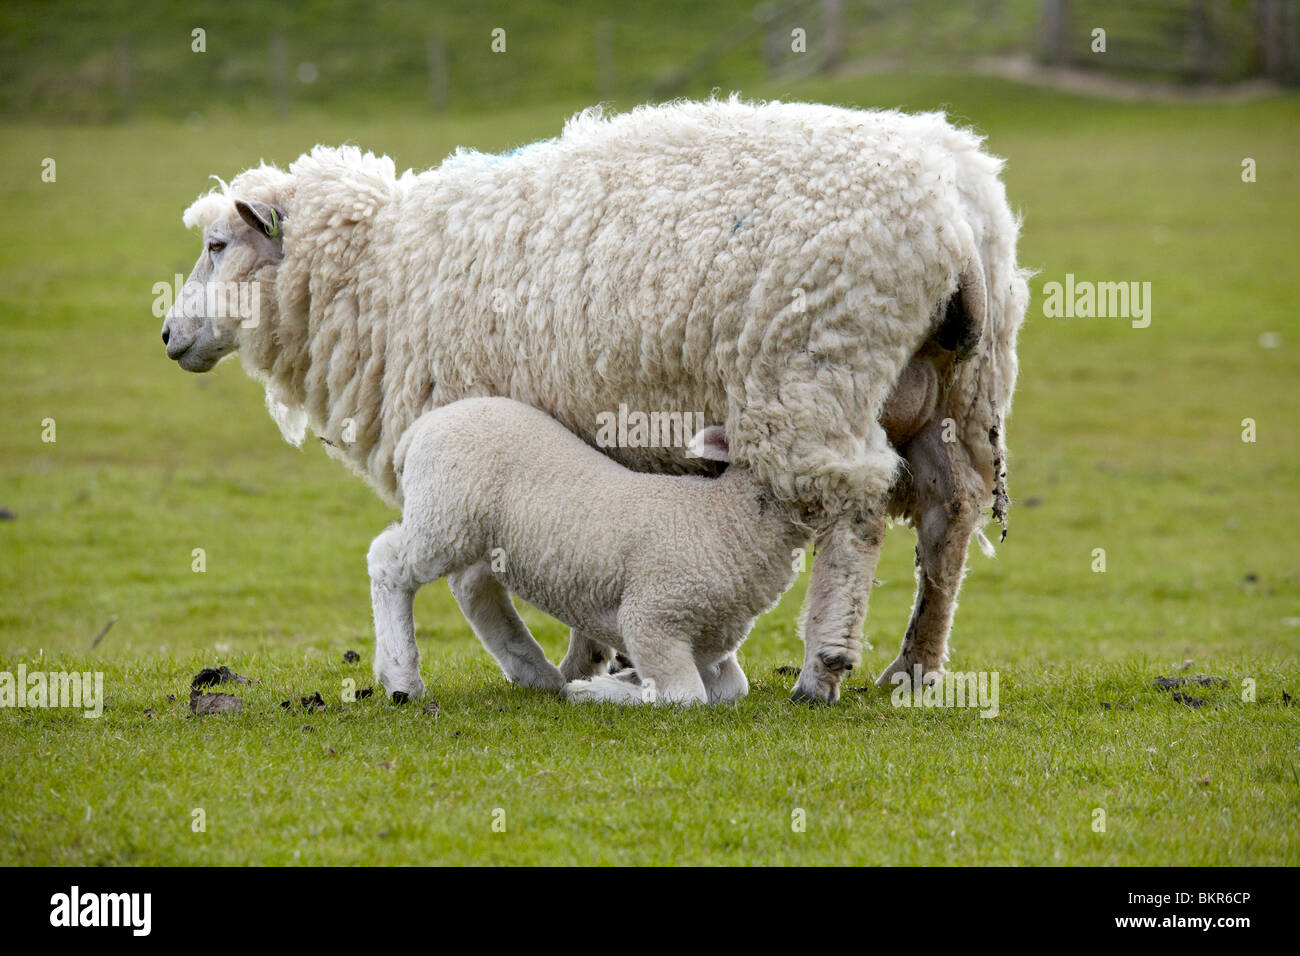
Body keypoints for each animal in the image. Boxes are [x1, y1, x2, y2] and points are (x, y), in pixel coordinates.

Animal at [368, 396, 807, 704]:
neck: (727, 520)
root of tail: (421, 428)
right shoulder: (651, 618)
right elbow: (687, 696)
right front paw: (598, 692)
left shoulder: (707, 643)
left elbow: (733, 686)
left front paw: (622, 680)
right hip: (445, 513)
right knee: (388, 562)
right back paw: (401, 675)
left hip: (477, 532)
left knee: (473, 586)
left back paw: (534, 670)